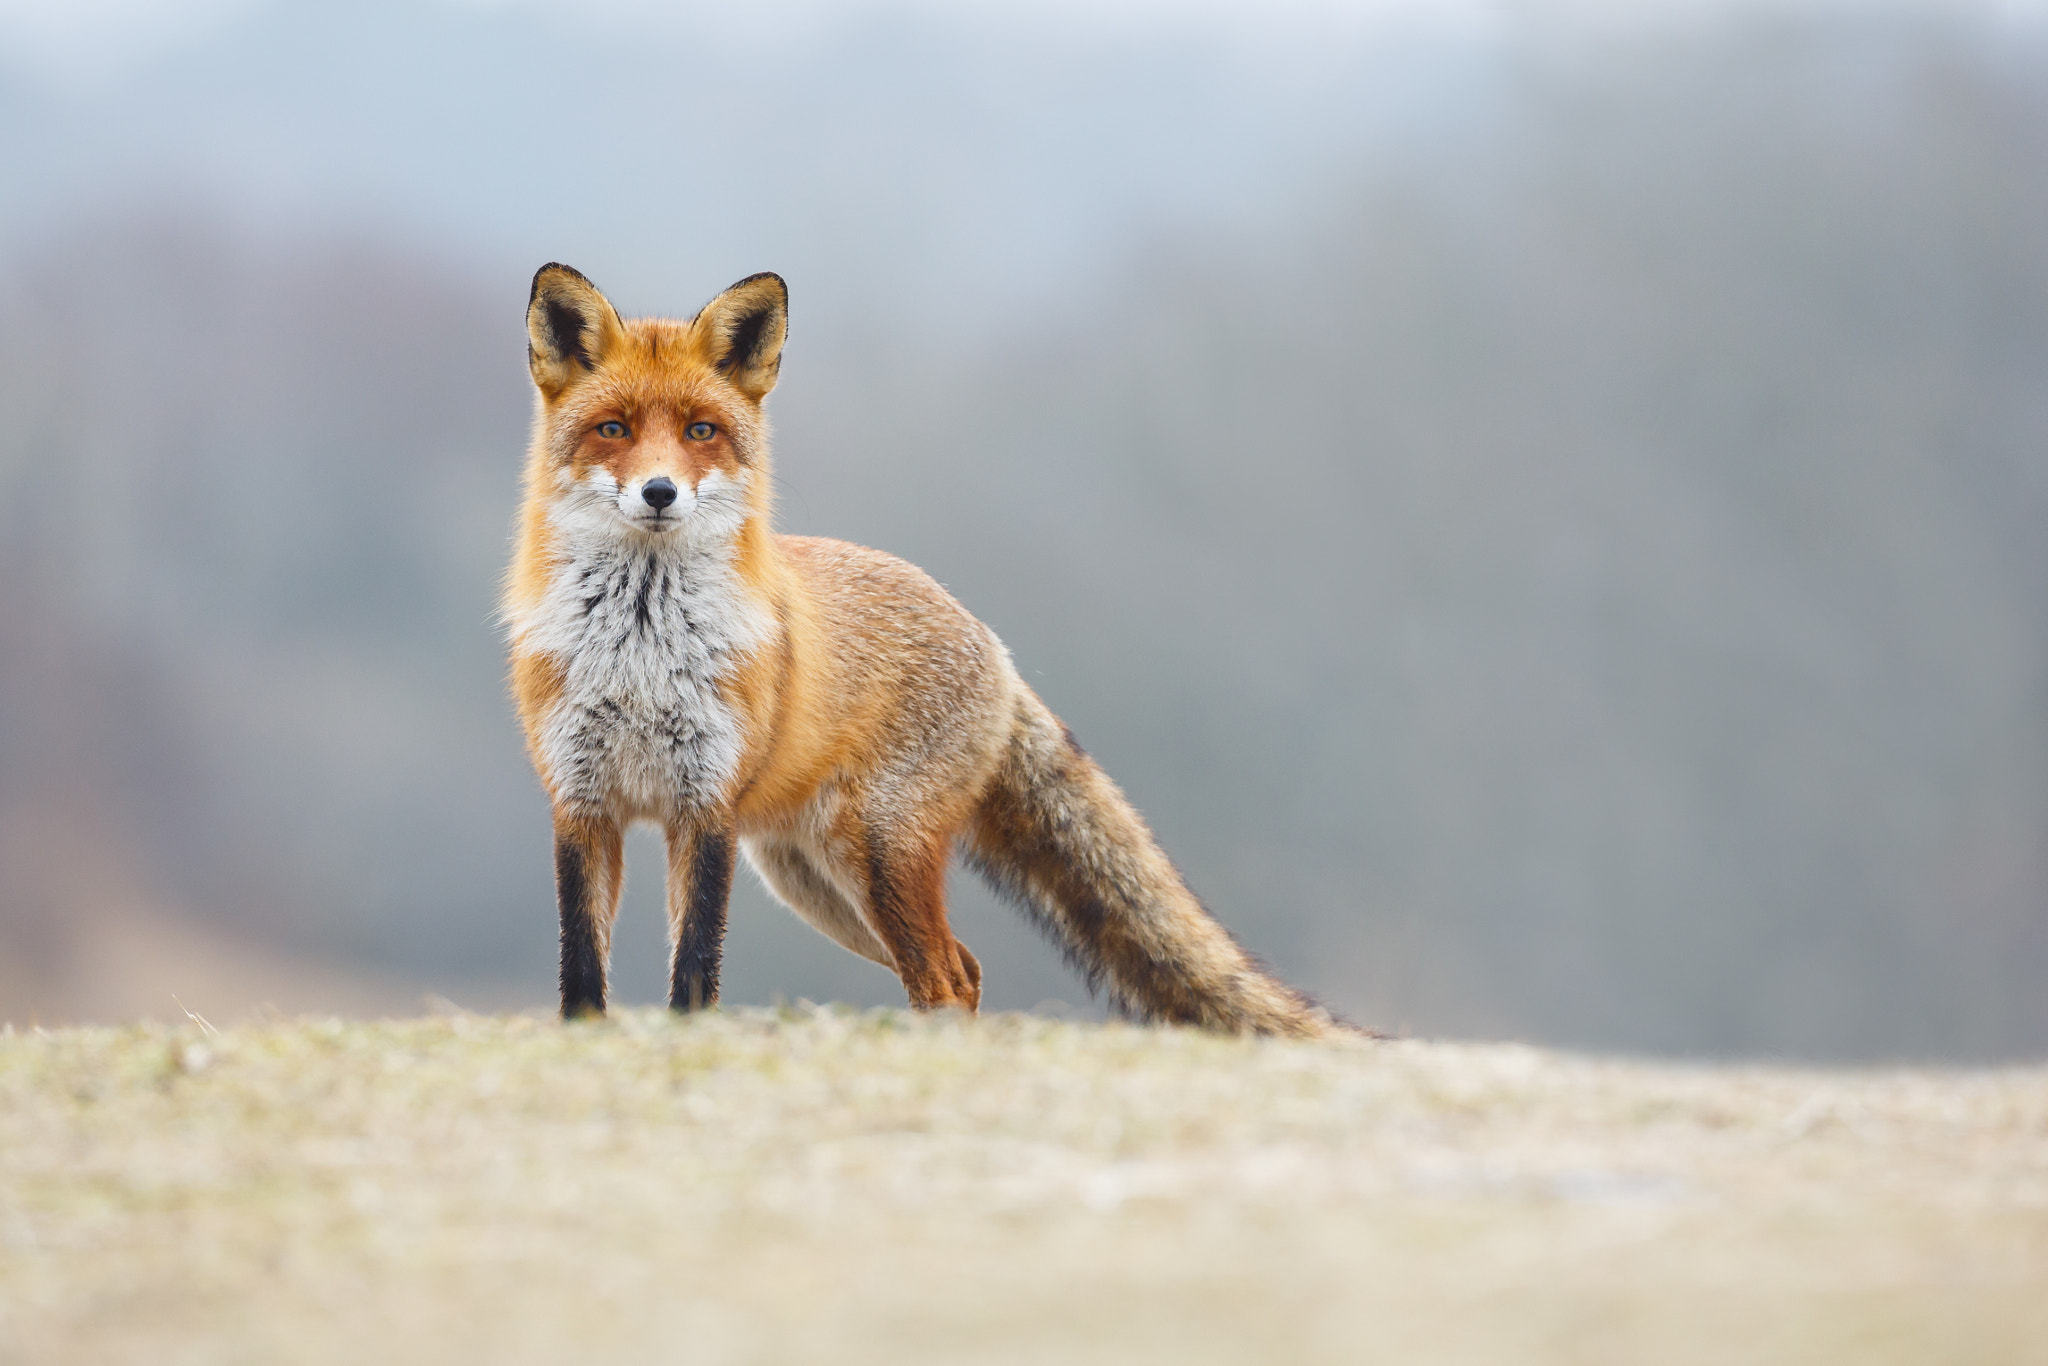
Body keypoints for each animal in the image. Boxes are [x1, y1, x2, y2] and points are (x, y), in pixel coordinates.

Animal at [503, 264, 1342, 1036]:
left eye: (700, 431)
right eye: (613, 429)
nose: (659, 493)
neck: (640, 655)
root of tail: (988, 637)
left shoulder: (703, 808)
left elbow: (694, 971)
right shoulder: (580, 803)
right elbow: (582, 971)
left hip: (878, 856)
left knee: (947, 976)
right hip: (819, 882)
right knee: (961, 968)